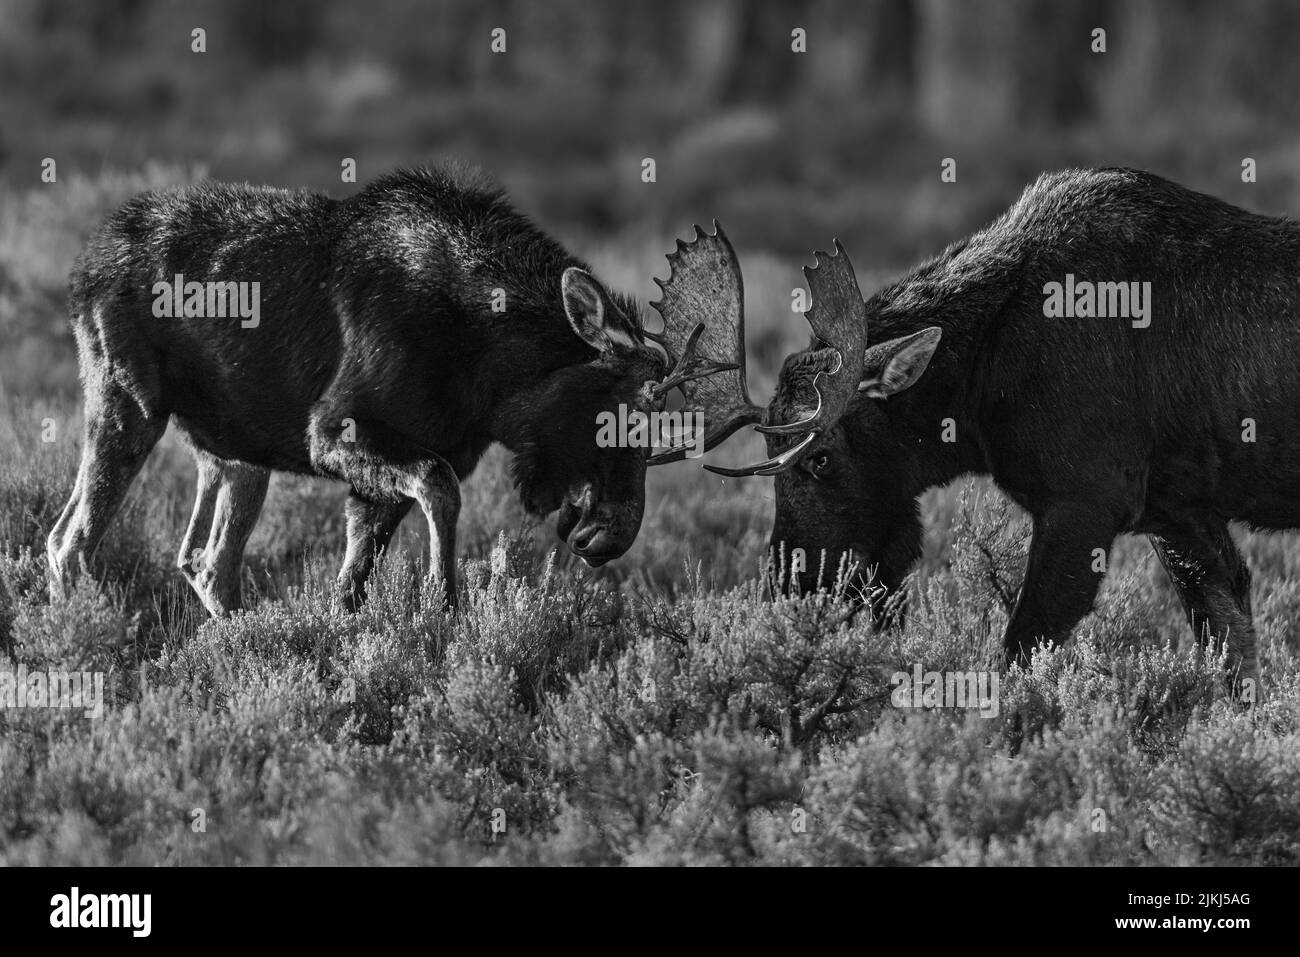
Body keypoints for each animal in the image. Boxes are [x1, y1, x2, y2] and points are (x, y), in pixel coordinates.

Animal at [47, 162, 733, 616]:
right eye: (626, 414)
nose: (611, 537)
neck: (490, 369)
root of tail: (82, 270)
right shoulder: (334, 430)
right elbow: (439, 490)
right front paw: (441, 605)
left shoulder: (389, 466)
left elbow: (352, 581)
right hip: (127, 404)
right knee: (68, 543)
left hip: (235, 453)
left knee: (205, 562)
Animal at [665, 168, 1300, 698]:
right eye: (767, 444)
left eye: (818, 458)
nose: (786, 585)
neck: (975, 389)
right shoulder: (1176, 510)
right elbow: (1230, 643)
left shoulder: (1086, 502)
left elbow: (1018, 650)